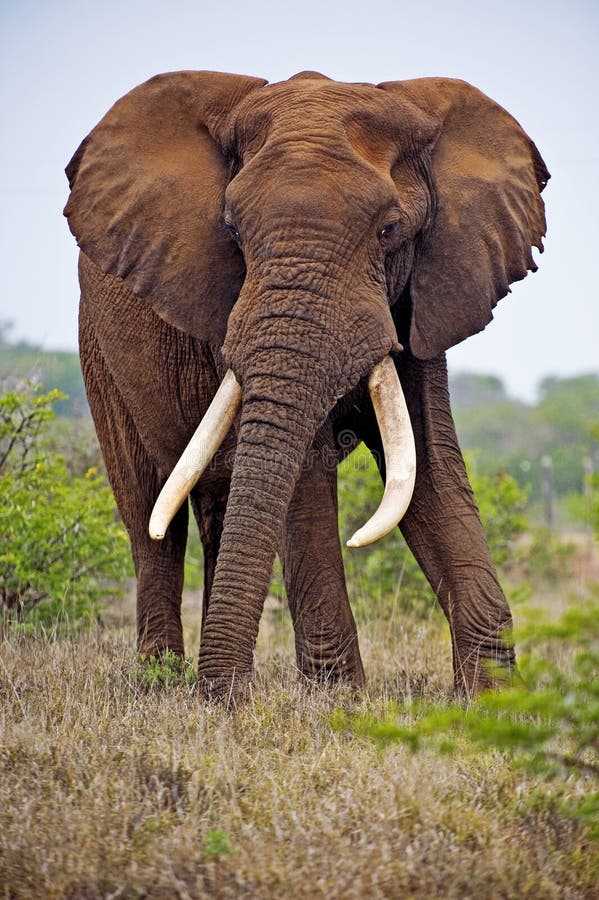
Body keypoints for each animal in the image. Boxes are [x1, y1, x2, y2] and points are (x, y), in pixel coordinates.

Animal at [64, 69, 549, 703]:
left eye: (390, 230)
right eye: (231, 229)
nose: (226, 701)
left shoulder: (425, 294)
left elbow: (430, 467)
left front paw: (491, 702)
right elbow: (306, 471)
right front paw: (337, 702)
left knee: (218, 509)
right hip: (97, 348)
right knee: (150, 511)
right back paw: (163, 683)